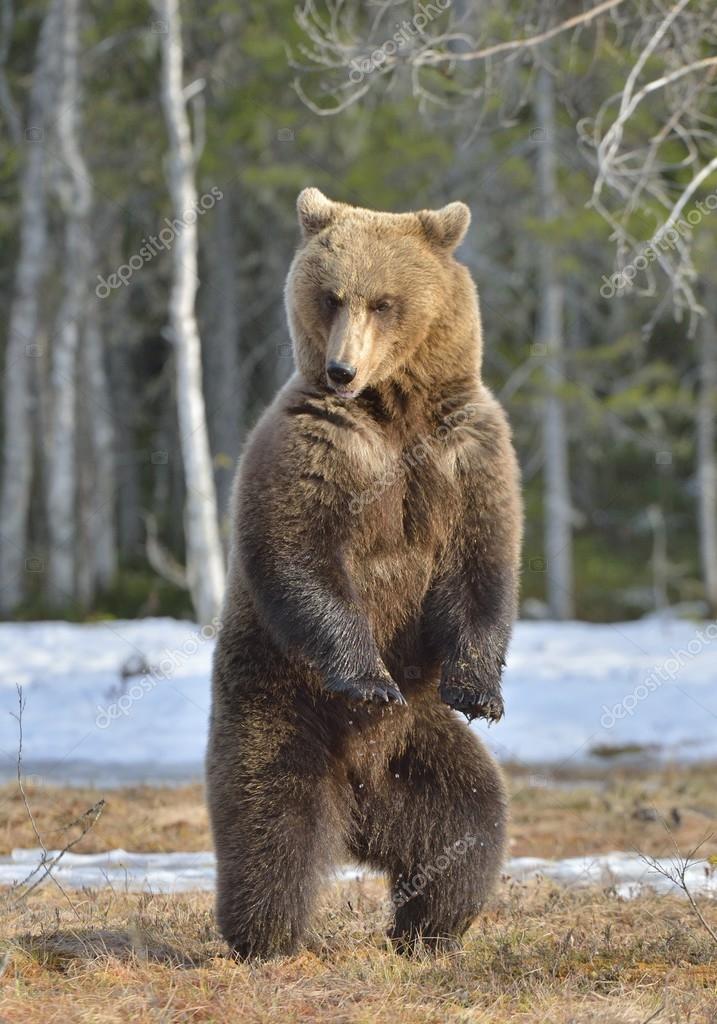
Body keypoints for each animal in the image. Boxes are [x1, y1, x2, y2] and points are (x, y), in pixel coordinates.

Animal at [206, 187, 522, 959]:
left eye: (384, 301)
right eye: (331, 296)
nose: (340, 370)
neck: (392, 408)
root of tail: (356, 802)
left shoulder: (465, 449)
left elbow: (482, 564)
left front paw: (481, 689)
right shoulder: (315, 446)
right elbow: (299, 554)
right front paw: (368, 678)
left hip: (420, 748)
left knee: (468, 826)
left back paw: (426, 929)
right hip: (277, 705)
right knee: (270, 823)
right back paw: (264, 937)